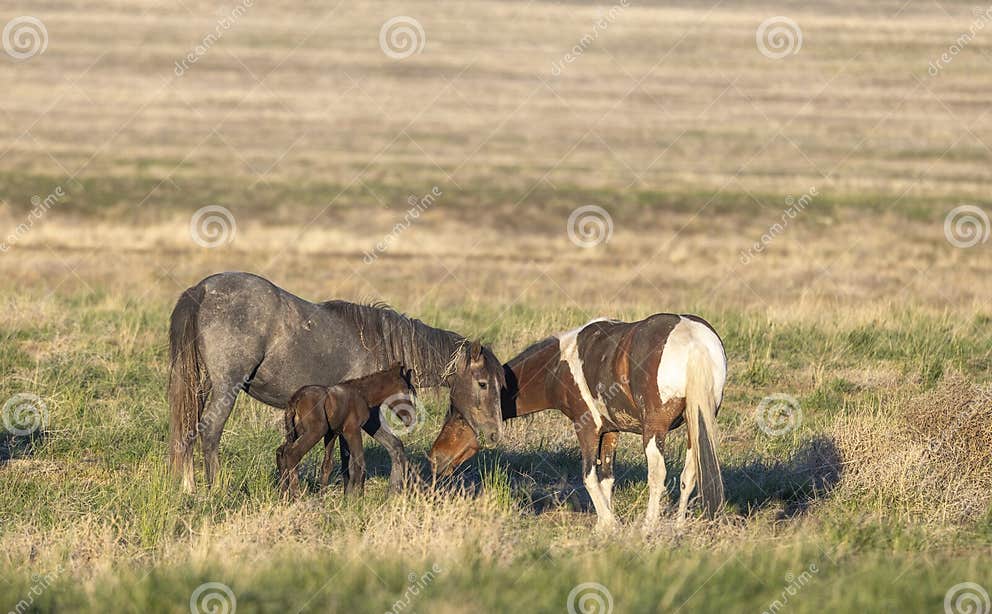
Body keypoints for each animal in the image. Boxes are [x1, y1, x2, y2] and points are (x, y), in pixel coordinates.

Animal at [276, 364, 417, 497]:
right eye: (406, 390)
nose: (411, 418)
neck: (362, 394)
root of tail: (296, 398)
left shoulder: (332, 433)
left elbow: (328, 465)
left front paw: (324, 498)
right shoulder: (352, 430)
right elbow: (359, 464)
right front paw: (357, 499)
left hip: (296, 432)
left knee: (281, 452)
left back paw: (284, 495)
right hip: (314, 432)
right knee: (293, 454)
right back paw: (295, 496)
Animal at [428, 314, 726, 531]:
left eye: (458, 412)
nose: (435, 457)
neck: (558, 367)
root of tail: (693, 340)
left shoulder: (587, 428)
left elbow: (589, 477)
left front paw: (609, 524)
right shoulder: (610, 432)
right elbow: (606, 479)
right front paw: (604, 524)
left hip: (655, 430)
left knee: (657, 475)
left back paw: (648, 527)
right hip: (696, 424)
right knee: (690, 473)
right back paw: (678, 526)